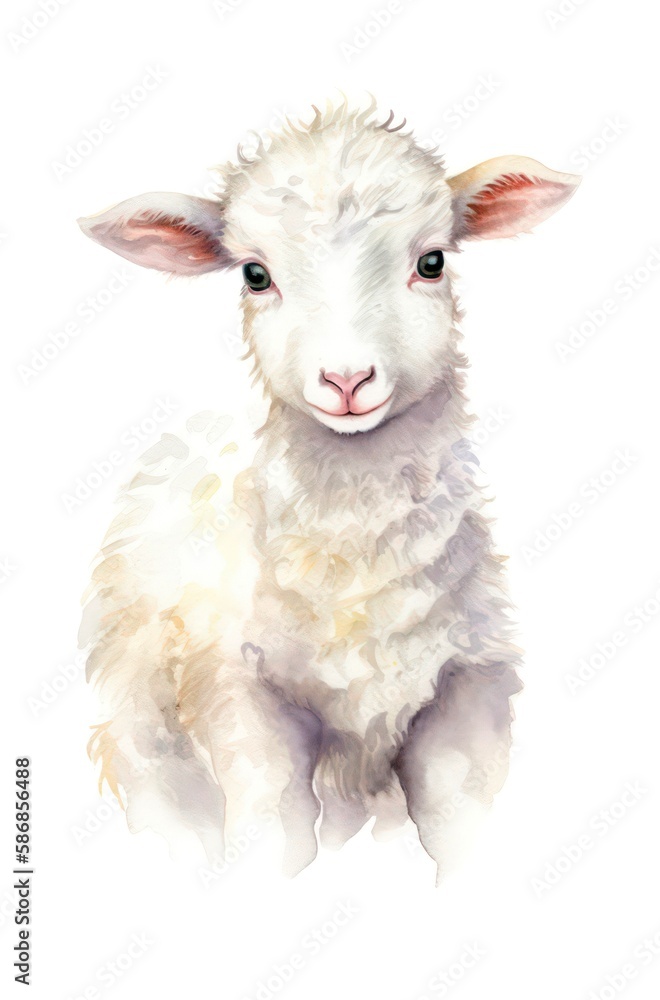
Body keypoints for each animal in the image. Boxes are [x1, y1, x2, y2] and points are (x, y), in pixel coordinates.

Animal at [78, 97, 579, 880]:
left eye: (432, 262)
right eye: (255, 274)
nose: (347, 380)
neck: (357, 581)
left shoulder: (466, 699)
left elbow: (461, 831)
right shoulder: (242, 701)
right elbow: (273, 834)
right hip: (147, 742)